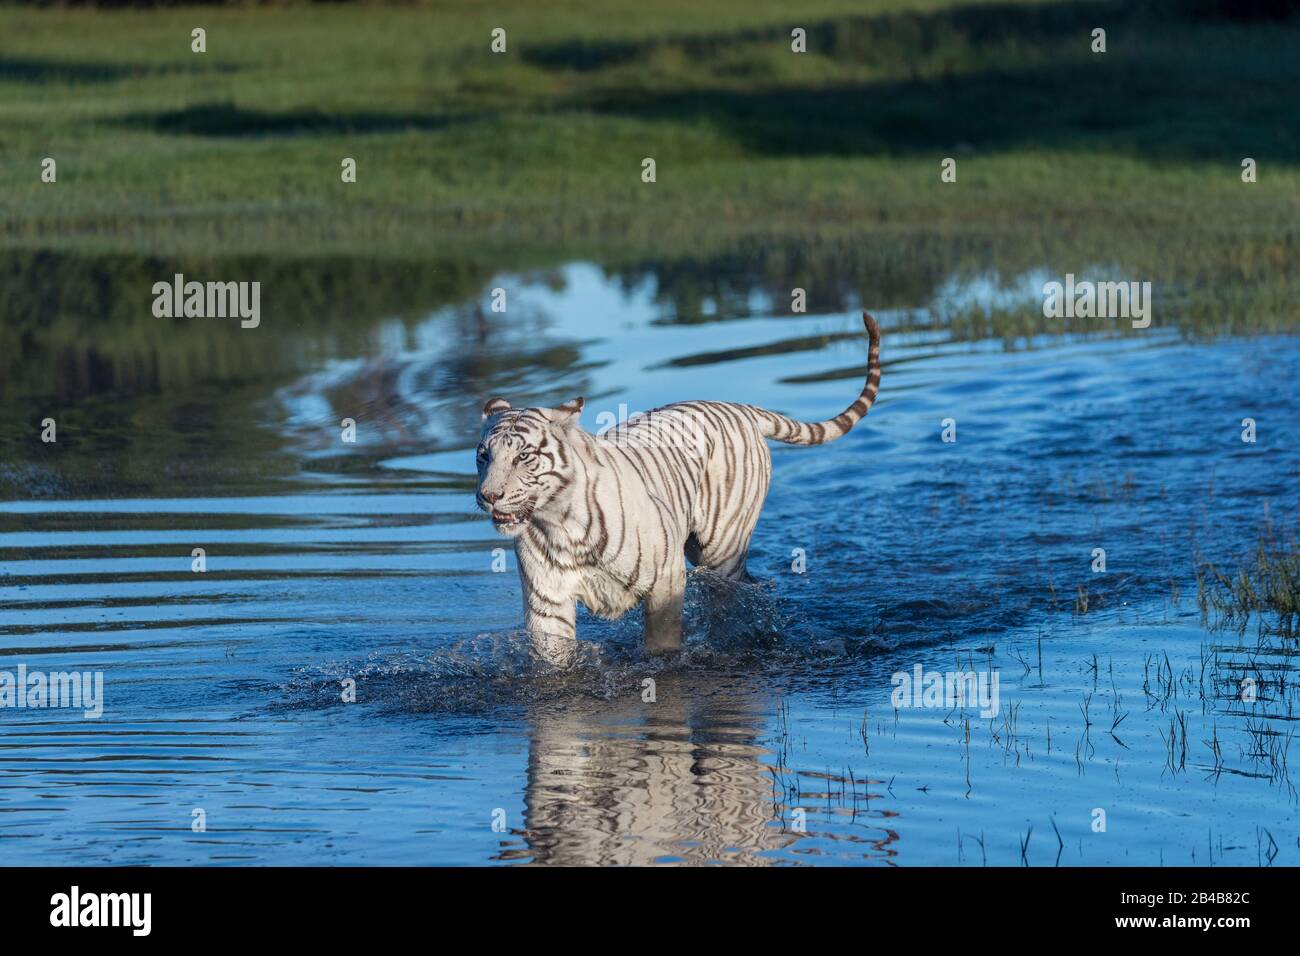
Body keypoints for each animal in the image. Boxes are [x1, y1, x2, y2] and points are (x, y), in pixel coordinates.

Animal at [475, 311, 882, 667]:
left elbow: (662, 640)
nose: (488, 497)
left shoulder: (665, 579)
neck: (558, 520)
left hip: (722, 551)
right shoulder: (548, 602)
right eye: (484, 456)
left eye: (524, 456)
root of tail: (737, 407)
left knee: (735, 599)